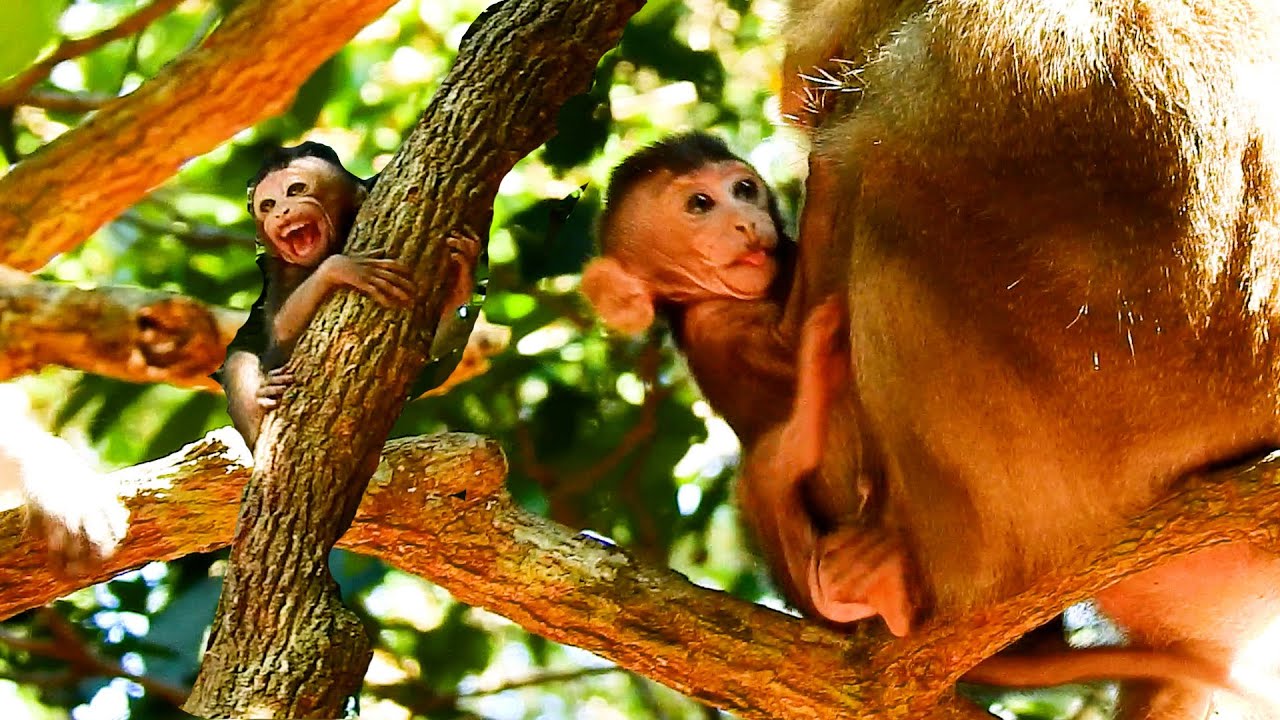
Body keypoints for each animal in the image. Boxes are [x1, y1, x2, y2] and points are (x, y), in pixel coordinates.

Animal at [222, 142, 478, 449]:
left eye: (295, 190)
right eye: (268, 205)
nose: (281, 212)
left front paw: (463, 277)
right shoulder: (280, 269)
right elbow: (279, 338)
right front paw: (340, 268)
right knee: (239, 360)